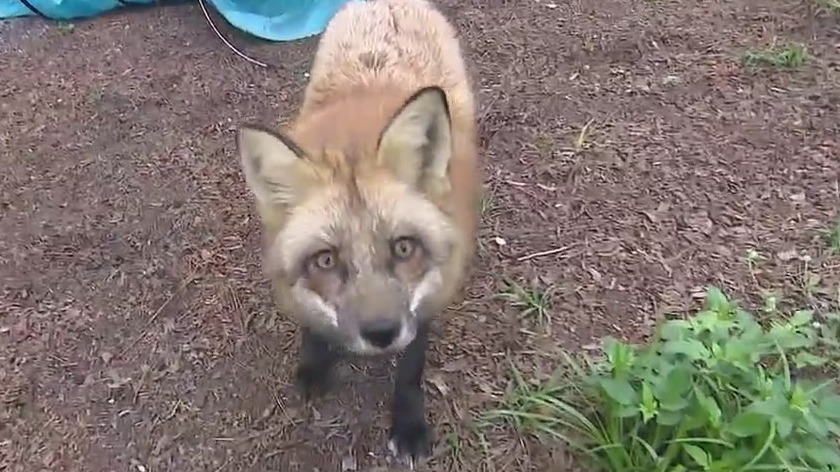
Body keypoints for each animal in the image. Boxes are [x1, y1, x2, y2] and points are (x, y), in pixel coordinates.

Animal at [235, 0, 480, 466]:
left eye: (403, 248)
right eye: (326, 259)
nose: (381, 334)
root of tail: (389, 6)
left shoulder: (432, 291)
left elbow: (410, 367)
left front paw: (408, 423)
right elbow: (312, 324)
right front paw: (314, 365)